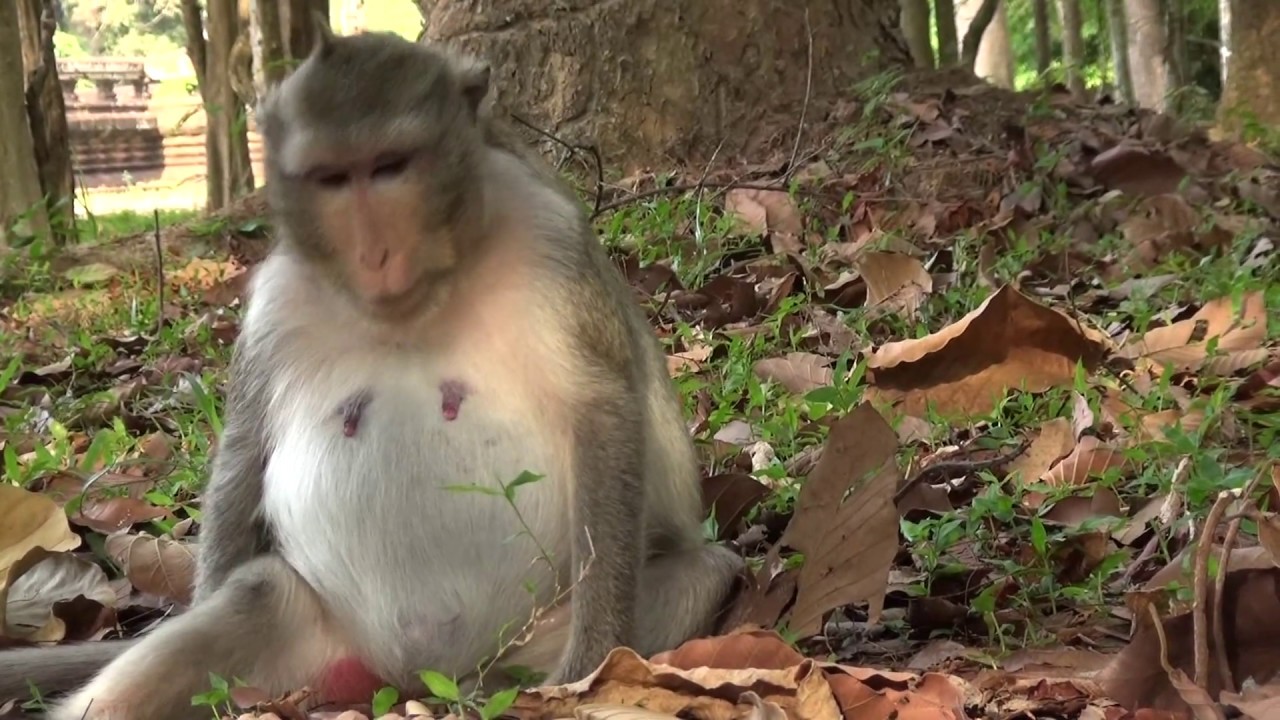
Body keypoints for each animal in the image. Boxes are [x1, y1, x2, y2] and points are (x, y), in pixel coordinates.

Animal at [0, 27, 744, 720]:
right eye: (332, 178)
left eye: (389, 167)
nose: (374, 255)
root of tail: (409, 676)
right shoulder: (277, 300)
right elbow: (245, 451)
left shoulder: (551, 246)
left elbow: (603, 416)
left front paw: (585, 672)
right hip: (319, 647)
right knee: (258, 595)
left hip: (517, 649)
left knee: (701, 575)